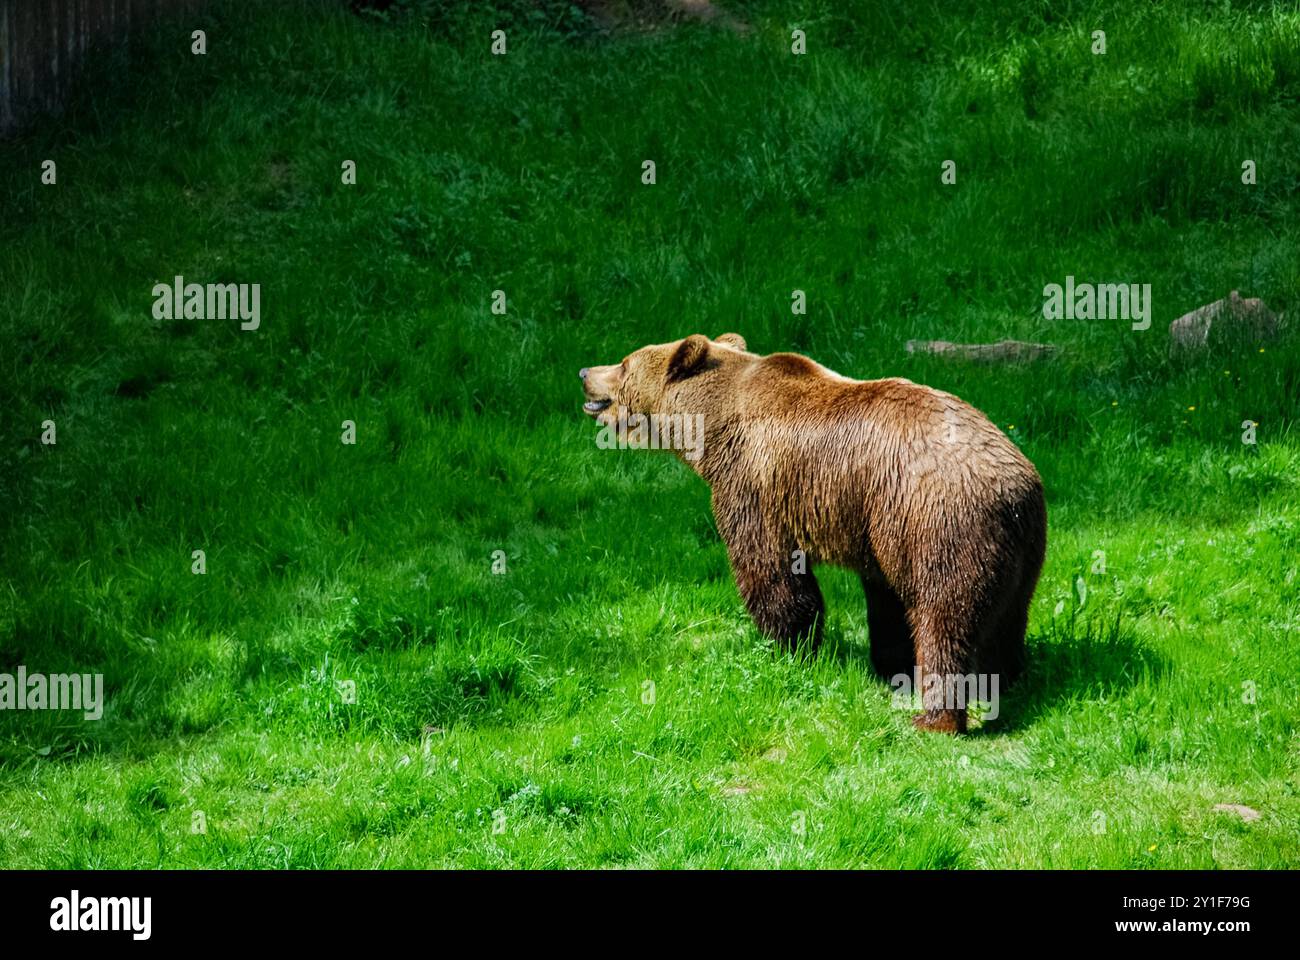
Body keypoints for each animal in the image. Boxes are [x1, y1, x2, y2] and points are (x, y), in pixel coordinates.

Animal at [579, 333, 1047, 734]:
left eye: (624, 363)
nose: (585, 371)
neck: (709, 431)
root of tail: (1016, 489)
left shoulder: (756, 485)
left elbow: (772, 572)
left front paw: (788, 646)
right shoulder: (875, 525)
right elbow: (885, 598)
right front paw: (890, 665)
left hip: (946, 526)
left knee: (944, 619)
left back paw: (935, 718)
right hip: (1020, 549)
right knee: (1007, 618)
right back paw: (1005, 680)